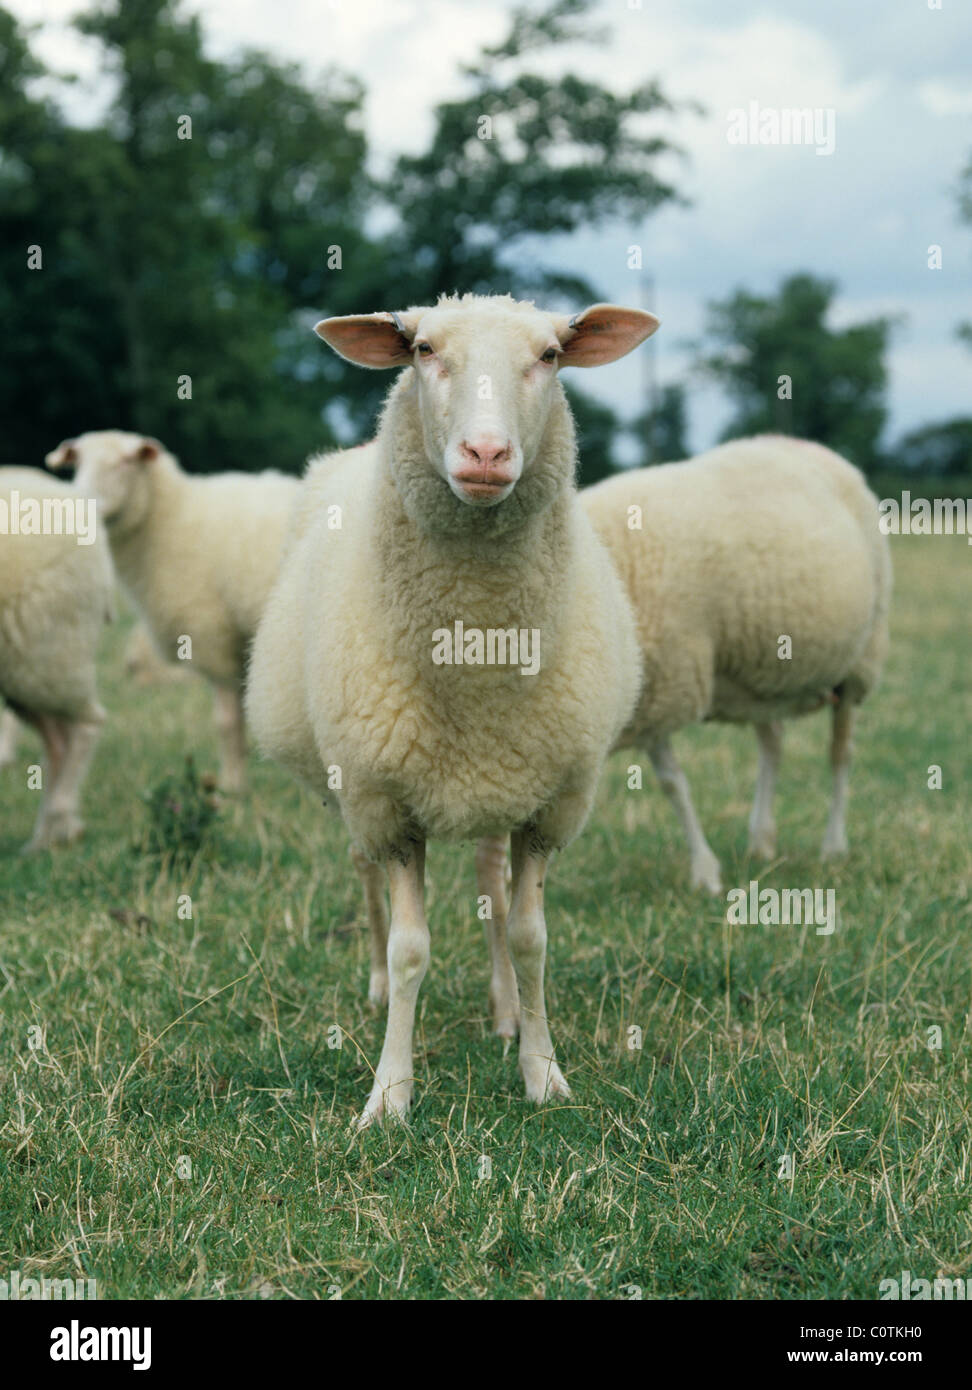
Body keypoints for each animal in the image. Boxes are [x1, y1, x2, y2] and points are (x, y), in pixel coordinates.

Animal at [0, 466, 114, 851]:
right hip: (23, 669)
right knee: (56, 742)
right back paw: (49, 836)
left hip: (48, 652)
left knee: (87, 725)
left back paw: (58, 819)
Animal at [45, 432, 301, 791]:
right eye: (77, 462)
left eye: (125, 462)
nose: (84, 504)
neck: (170, 520)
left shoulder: (212, 636)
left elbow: (226, 722)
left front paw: (231, 787)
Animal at [245, 294, 656, 1125]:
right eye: (423, 350)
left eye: (550, 356)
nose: (487, 455)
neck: (477, 652)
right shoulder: (387, 803)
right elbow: (410, 950)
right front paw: (388, 1096)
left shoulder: (551, 803)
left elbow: (529, 936)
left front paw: (541, 1069)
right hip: (353, 788)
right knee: (364, 876)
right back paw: (375, 993)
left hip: (497, 782)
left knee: (490, 881)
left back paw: (502, 1011)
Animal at [575, 434, 892, 891]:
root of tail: (808, 446)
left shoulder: (663, 685)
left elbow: (674, 785)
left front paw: (704, 873)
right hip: (765, 669)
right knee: (773, 743)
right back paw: (761, 839)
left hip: (859, 662)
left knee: (840, 753)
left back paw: (833, 846)